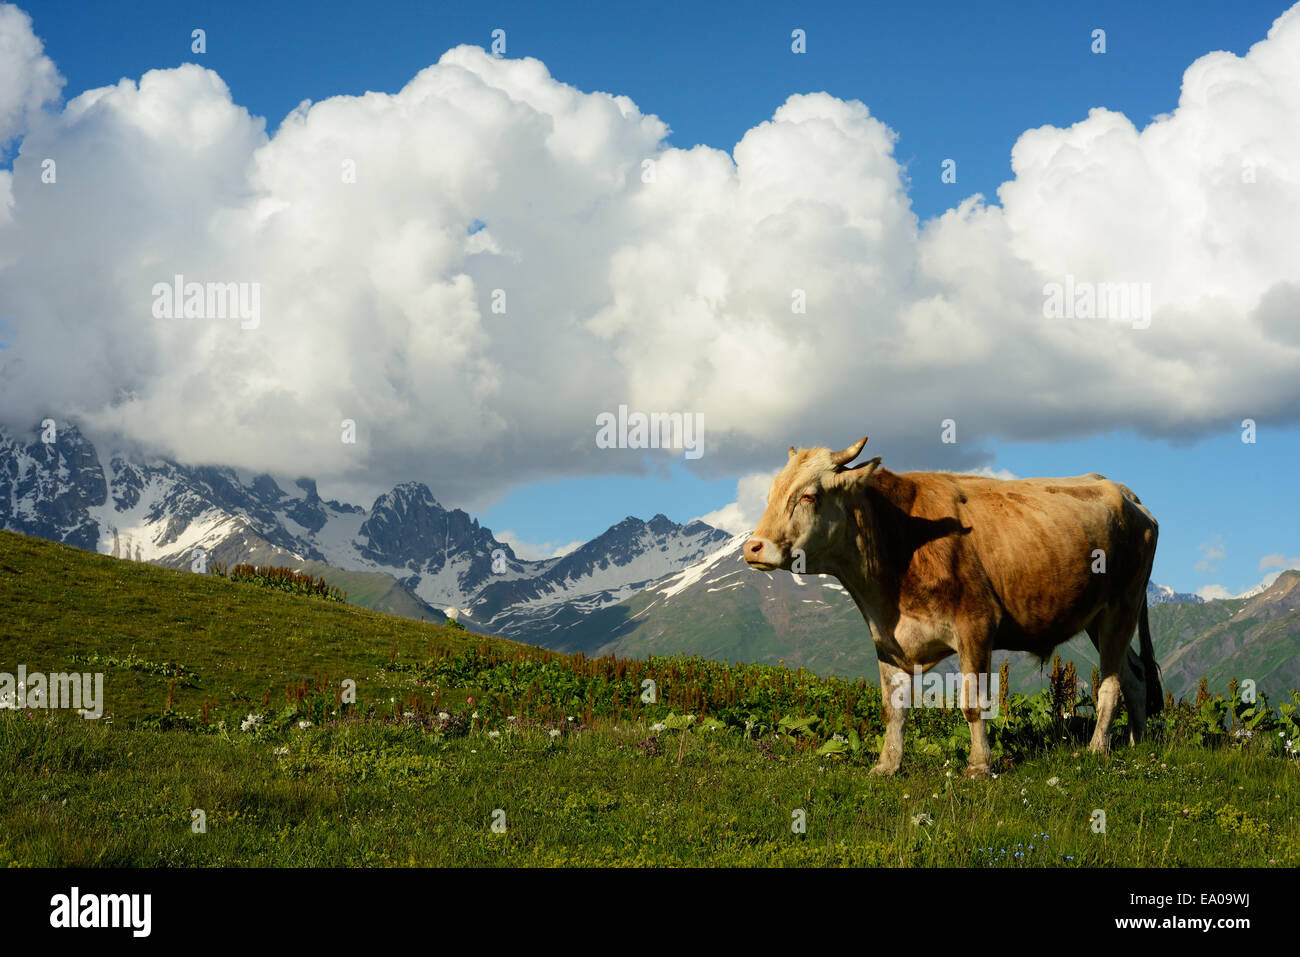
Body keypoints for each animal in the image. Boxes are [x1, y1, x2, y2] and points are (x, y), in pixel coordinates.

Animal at [743, 437, 1162, 778]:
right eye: (771, 494)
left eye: (808, 496)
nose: (754, 546)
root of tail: (1123, 491)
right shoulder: (887, 640)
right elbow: (893, 707)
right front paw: (886, 765)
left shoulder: (976, 623)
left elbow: (973, 703)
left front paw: (979, 766)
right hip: (1098, 616)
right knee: (1135, 676)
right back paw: (1138, 744)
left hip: (1122, 605)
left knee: (1111, 684)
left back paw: (1096, 749)